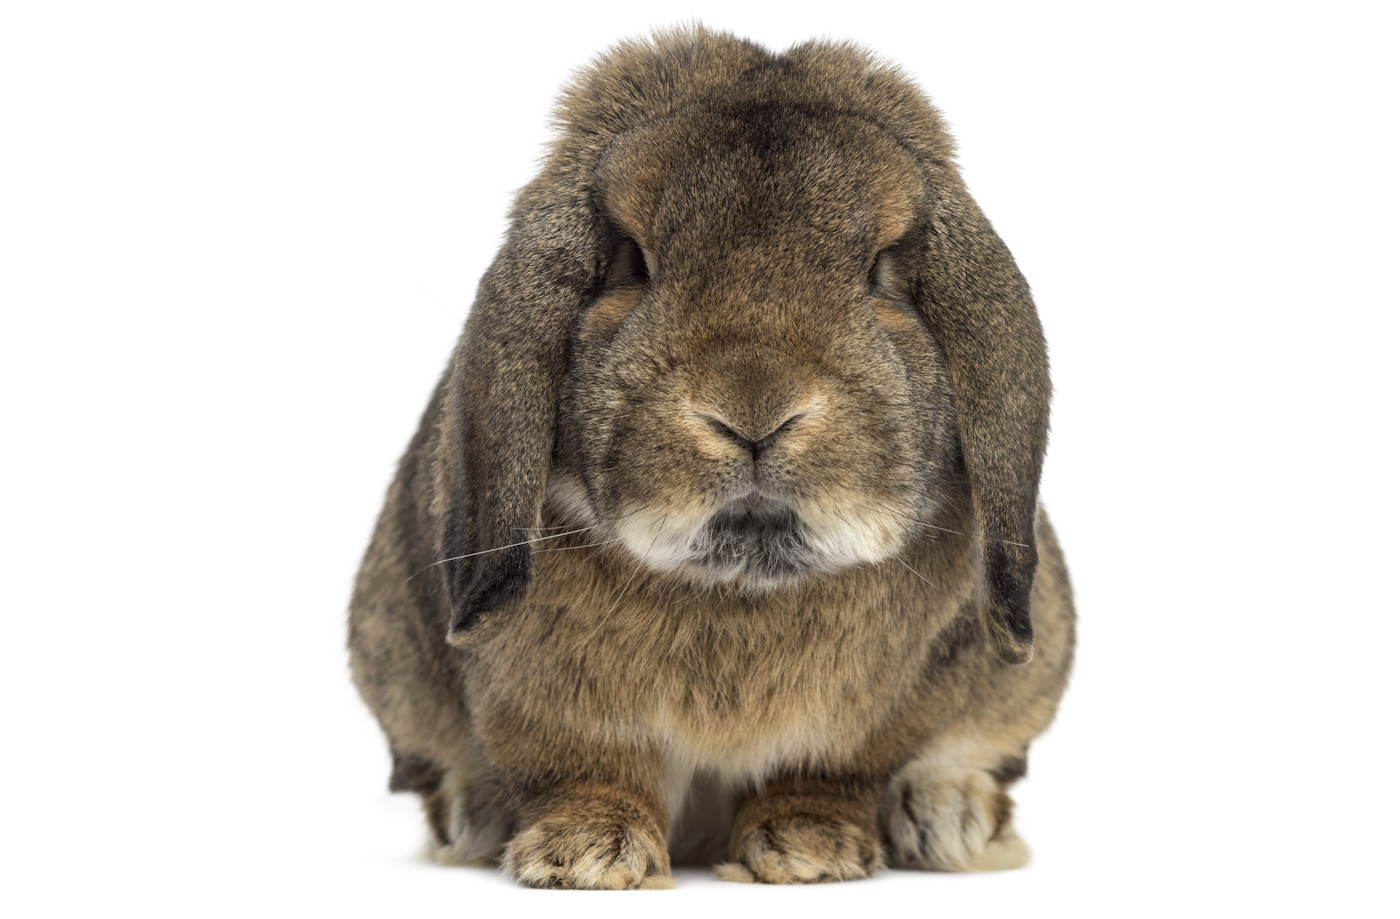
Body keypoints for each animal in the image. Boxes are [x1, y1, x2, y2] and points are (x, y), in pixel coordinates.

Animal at [348, 25, 1075, 889]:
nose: (753, 413)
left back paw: (949, 820)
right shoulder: (544, 706)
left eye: (881, 269)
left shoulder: (873, 718)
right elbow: (583, 768)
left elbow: (829, 772)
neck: (739, 589)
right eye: (632, 260)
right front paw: (584, 853)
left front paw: (811, 850)